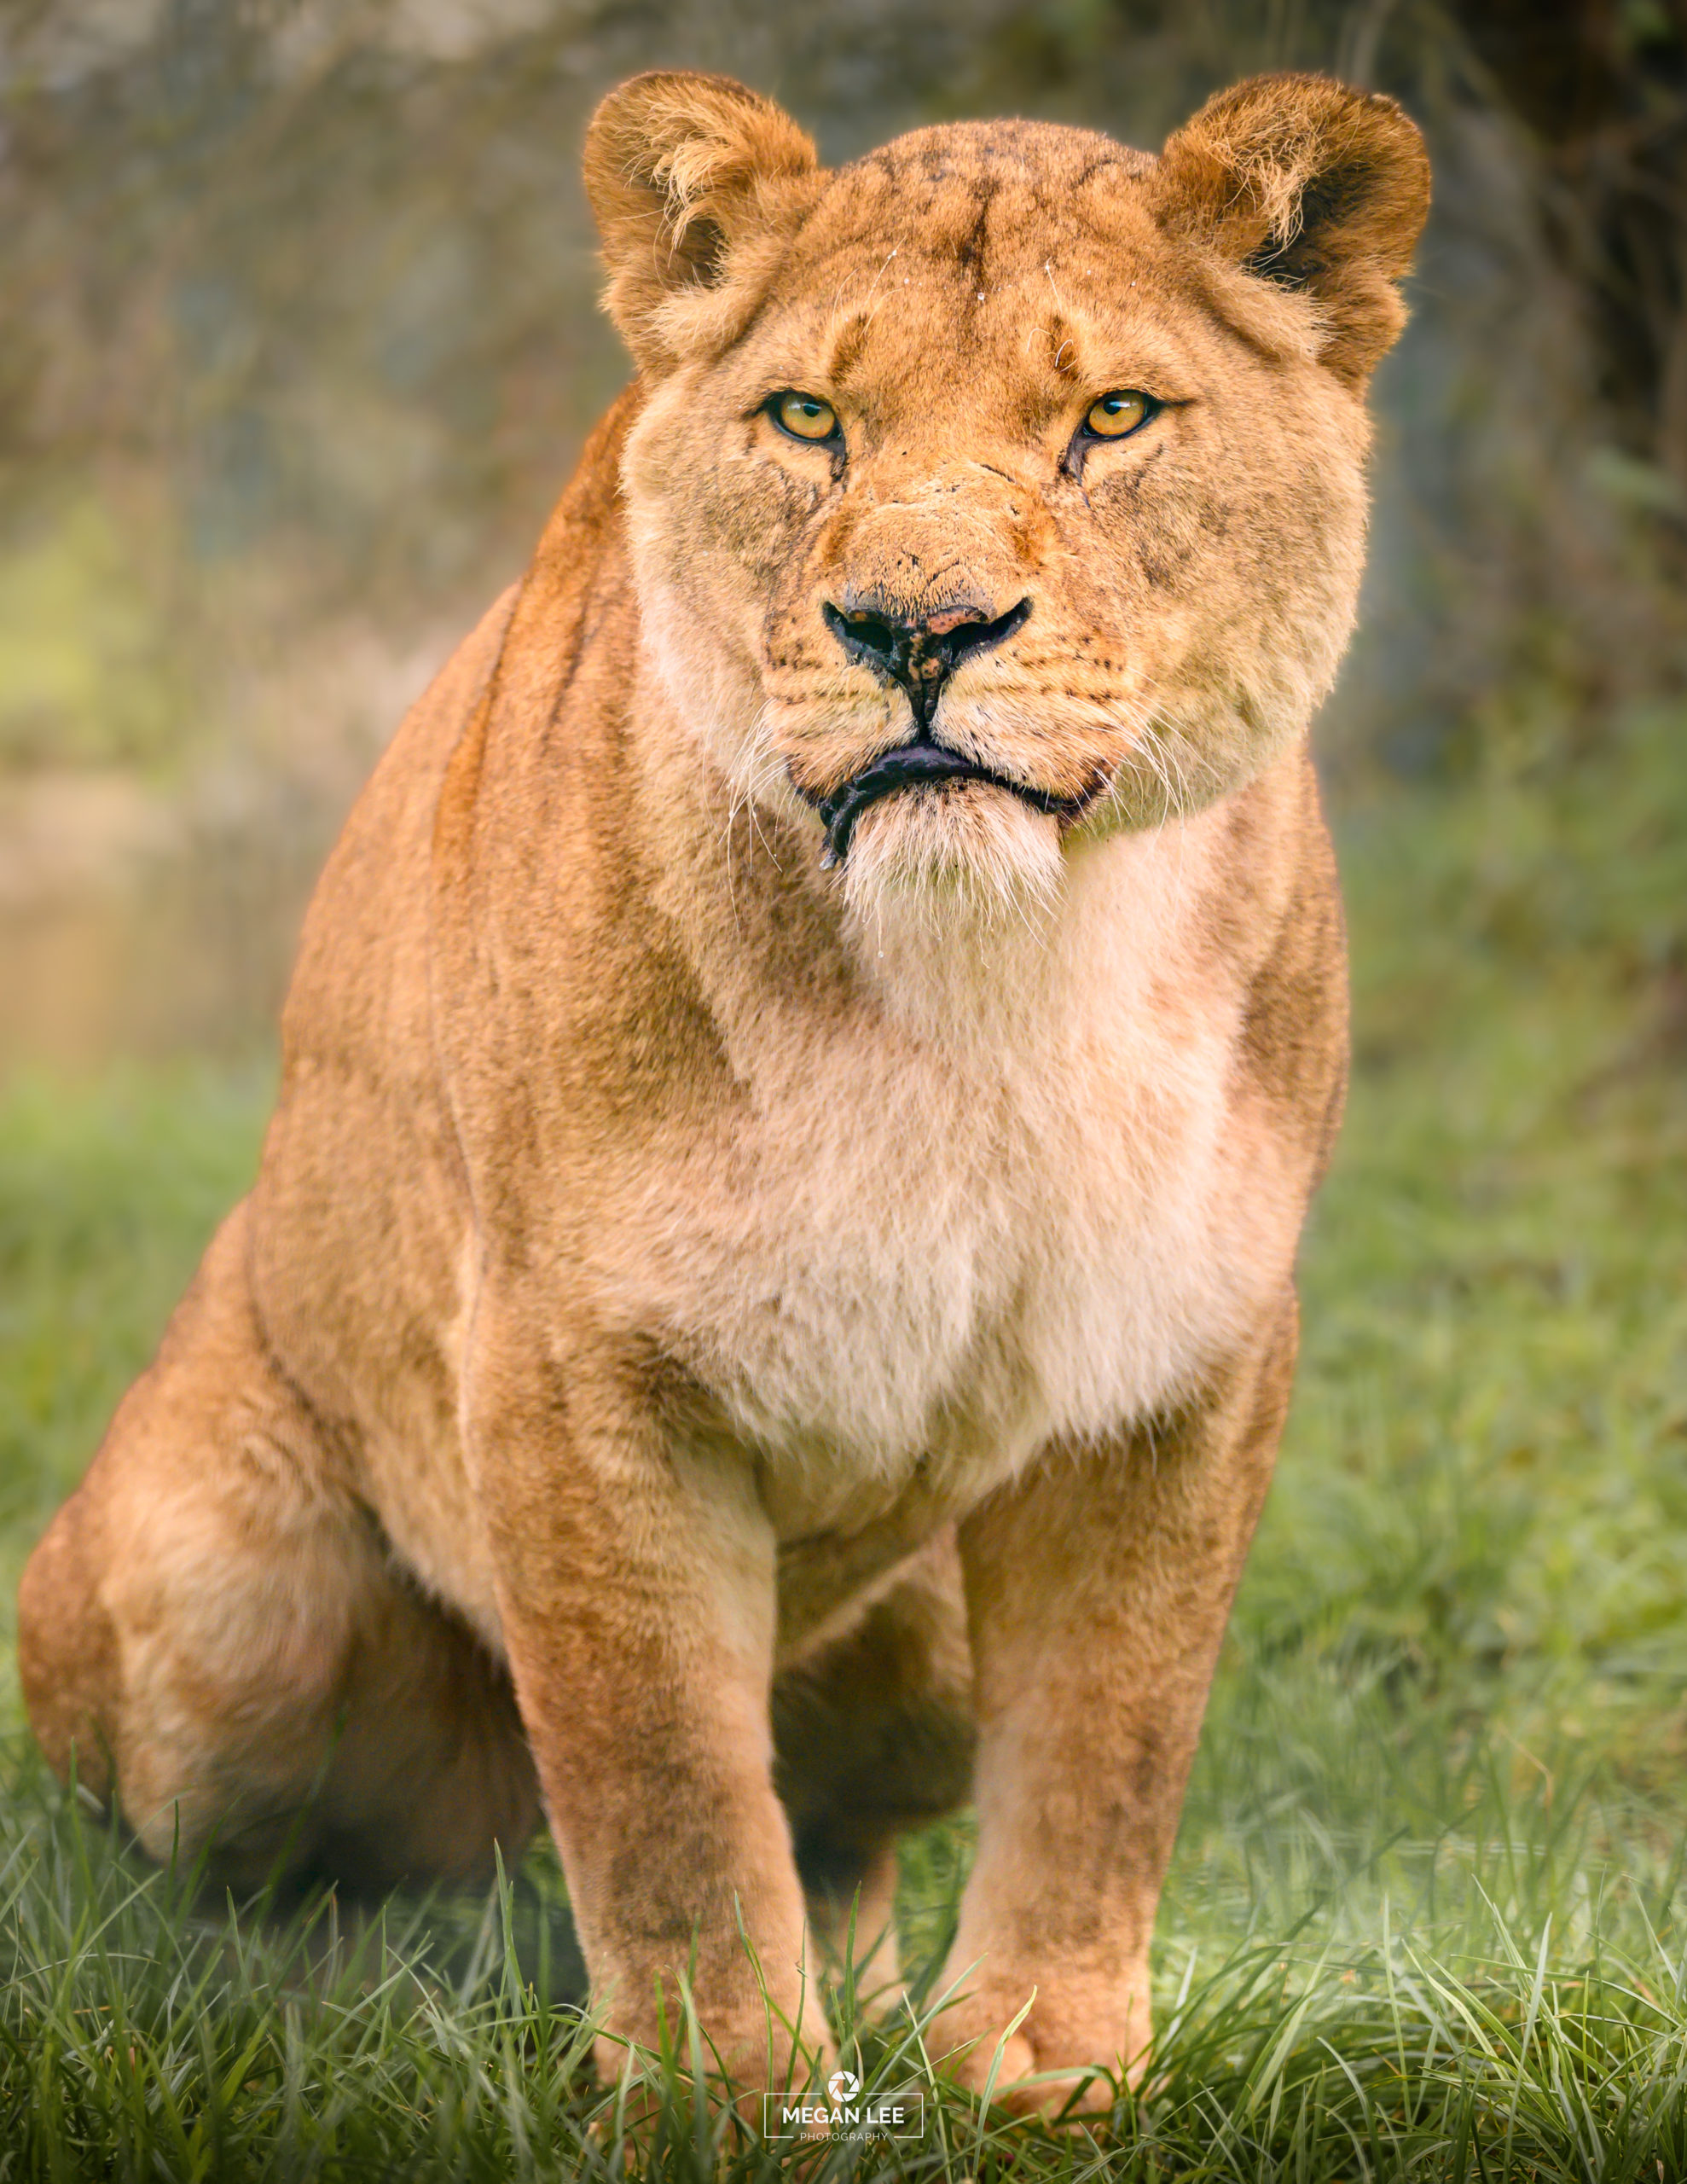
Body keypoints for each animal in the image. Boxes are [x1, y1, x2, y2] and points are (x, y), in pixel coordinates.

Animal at [18, 68, 1428, 2112]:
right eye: (807, 419)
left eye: (1108, 417)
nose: (915, 630)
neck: (985, 982)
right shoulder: (571, 1364)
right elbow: (659, 1773)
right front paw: (722, 2090)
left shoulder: (1179, 1354)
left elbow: (1108, 1747)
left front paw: (1040, 2069)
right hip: (217, 1599)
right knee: (236, 1870)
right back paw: (280, 2016)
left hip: (922, 1623)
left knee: (845, 1836)